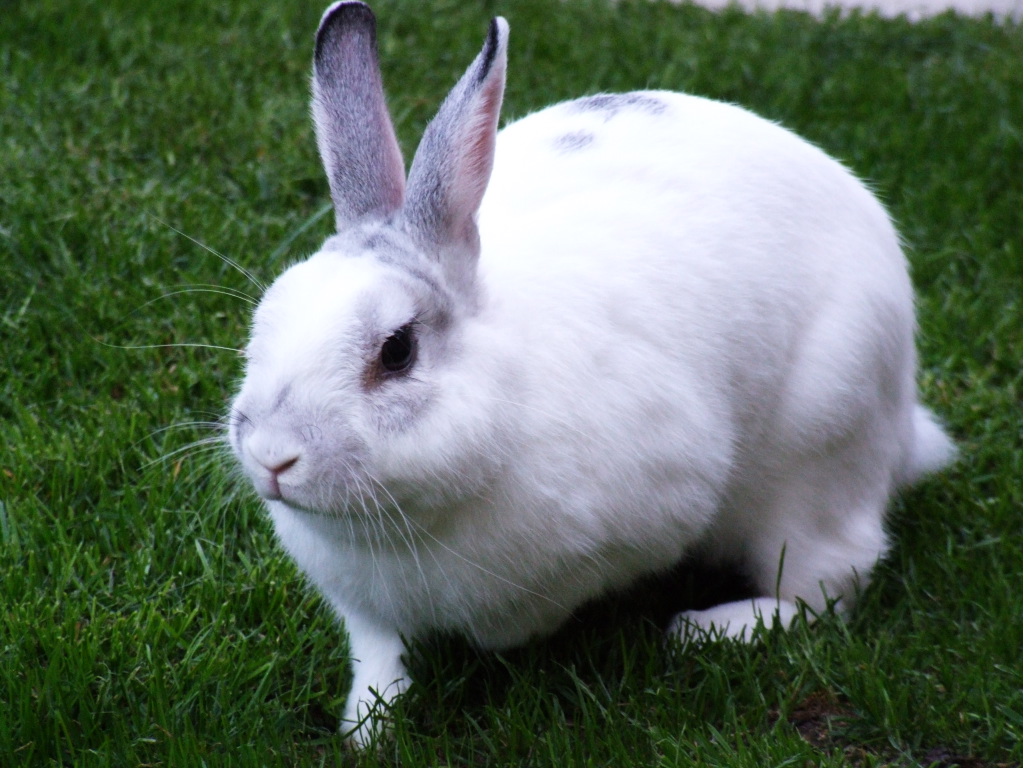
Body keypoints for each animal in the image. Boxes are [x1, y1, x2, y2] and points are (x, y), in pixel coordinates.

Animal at [227, 0, 955, 747]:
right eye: (267, 315)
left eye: (397, 351)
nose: (273, 457)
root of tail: (903, 424)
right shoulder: (364, 607)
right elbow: (378, 659)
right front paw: (366, 731)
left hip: (820, 459)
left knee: (829, 584)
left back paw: (708, 628)